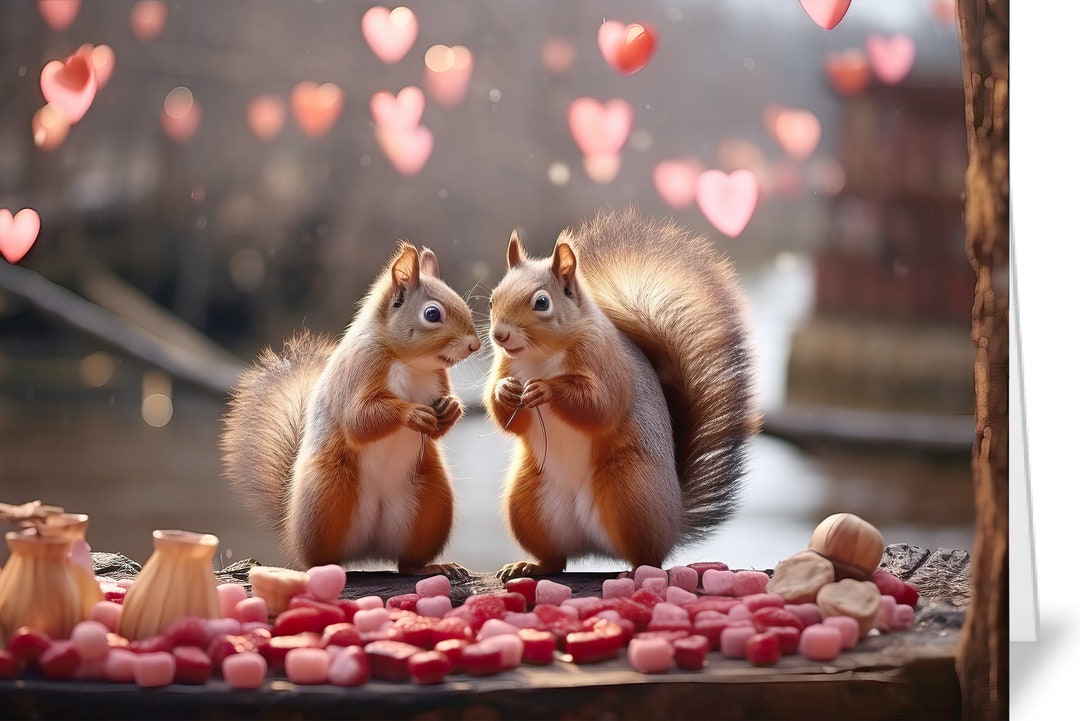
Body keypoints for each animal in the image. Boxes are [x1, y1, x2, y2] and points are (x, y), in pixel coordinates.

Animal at [220, 241, 481, 578]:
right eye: (432, 313)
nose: (474, 345)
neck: (408, 362)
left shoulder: (438, 379)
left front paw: (451, 408)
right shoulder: (359, 371)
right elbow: (359, 420)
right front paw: (411, 414)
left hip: (431, 504)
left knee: (407, 564)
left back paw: (431, 567)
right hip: (327, 495)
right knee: (316, 559)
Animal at [484, 207, 760, 580]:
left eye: (541, 302)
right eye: (493, 298)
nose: (500, 335)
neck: (540, 355)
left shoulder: (605, 364)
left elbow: (599, 406)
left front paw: (546, 389)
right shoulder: (507, 364)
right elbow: (507, 417)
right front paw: (505, 392)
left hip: (629, 491)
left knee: (650, 555)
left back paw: (635, 569)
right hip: (528, 501)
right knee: (556, 560)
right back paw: (530, 565)